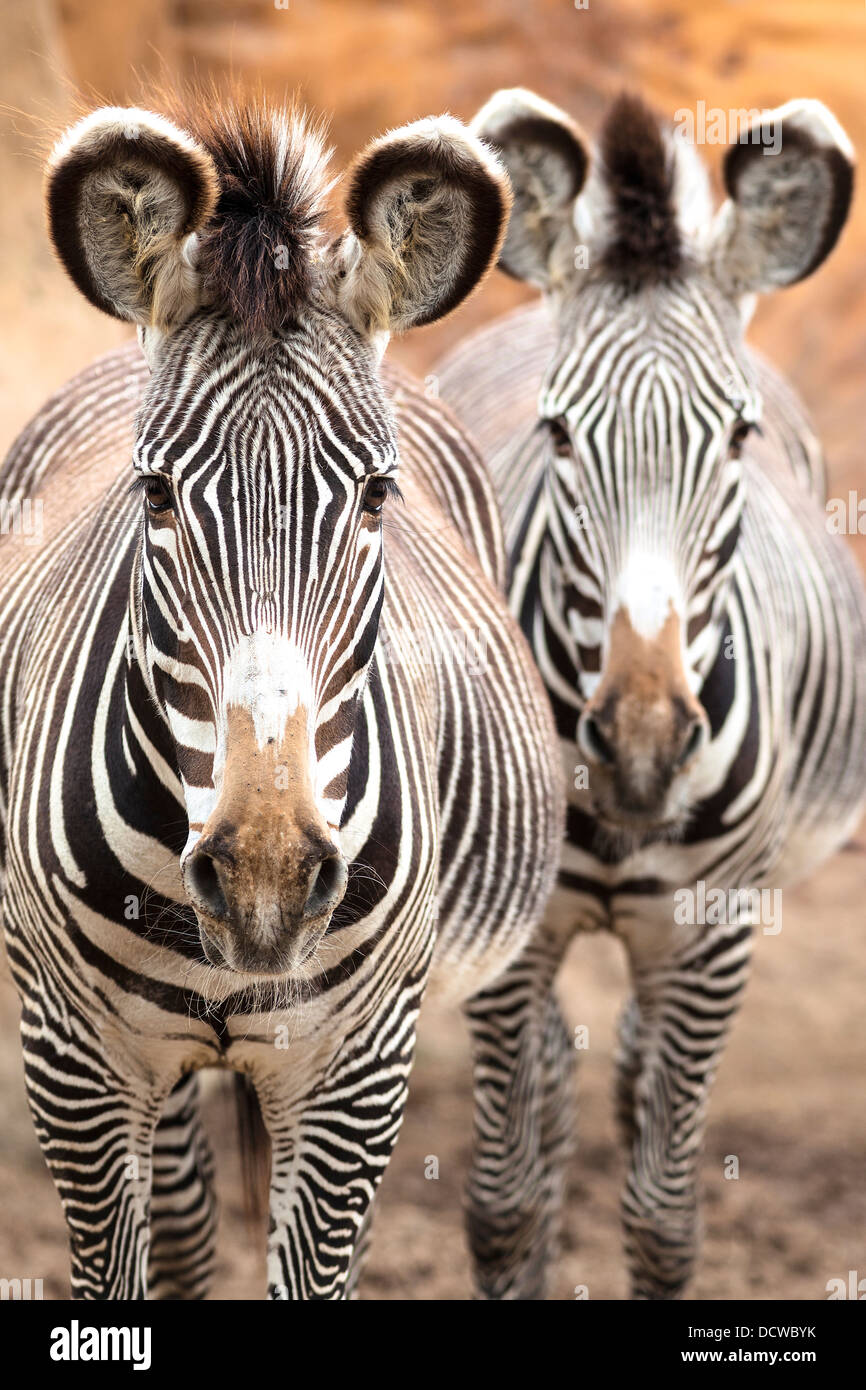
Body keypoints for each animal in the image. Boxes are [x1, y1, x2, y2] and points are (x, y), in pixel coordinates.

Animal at [435, 89, 866, 1298]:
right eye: (557, 432)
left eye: (736, 437)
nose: (638, 746)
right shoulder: (512, 937)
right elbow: (499, 1206)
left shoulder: (706, 940)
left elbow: (665, 1217)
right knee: (546, 1084)